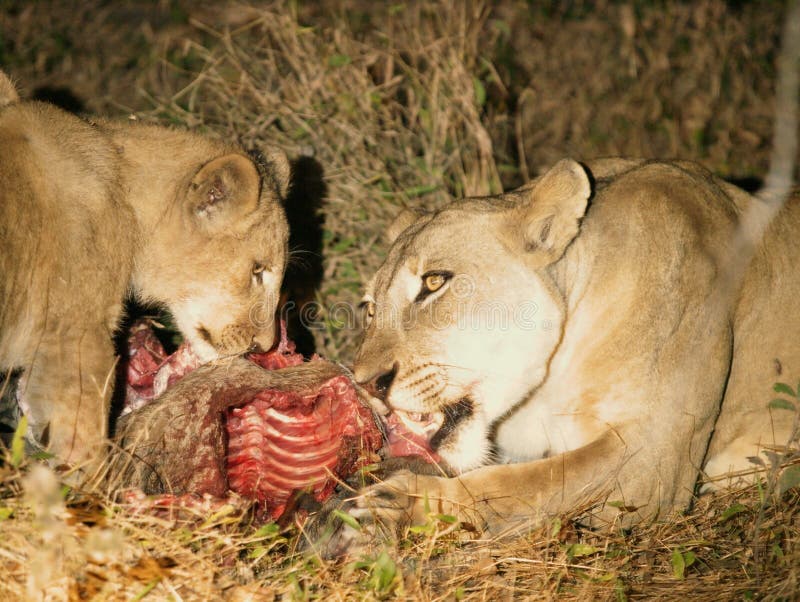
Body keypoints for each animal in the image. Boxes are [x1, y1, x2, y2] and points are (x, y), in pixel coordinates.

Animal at [309, 157, 800, 555]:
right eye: (370, 308)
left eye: (434, 282)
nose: (366, 383)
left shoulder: (657, 458)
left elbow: (528, 485)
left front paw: (398, 505)